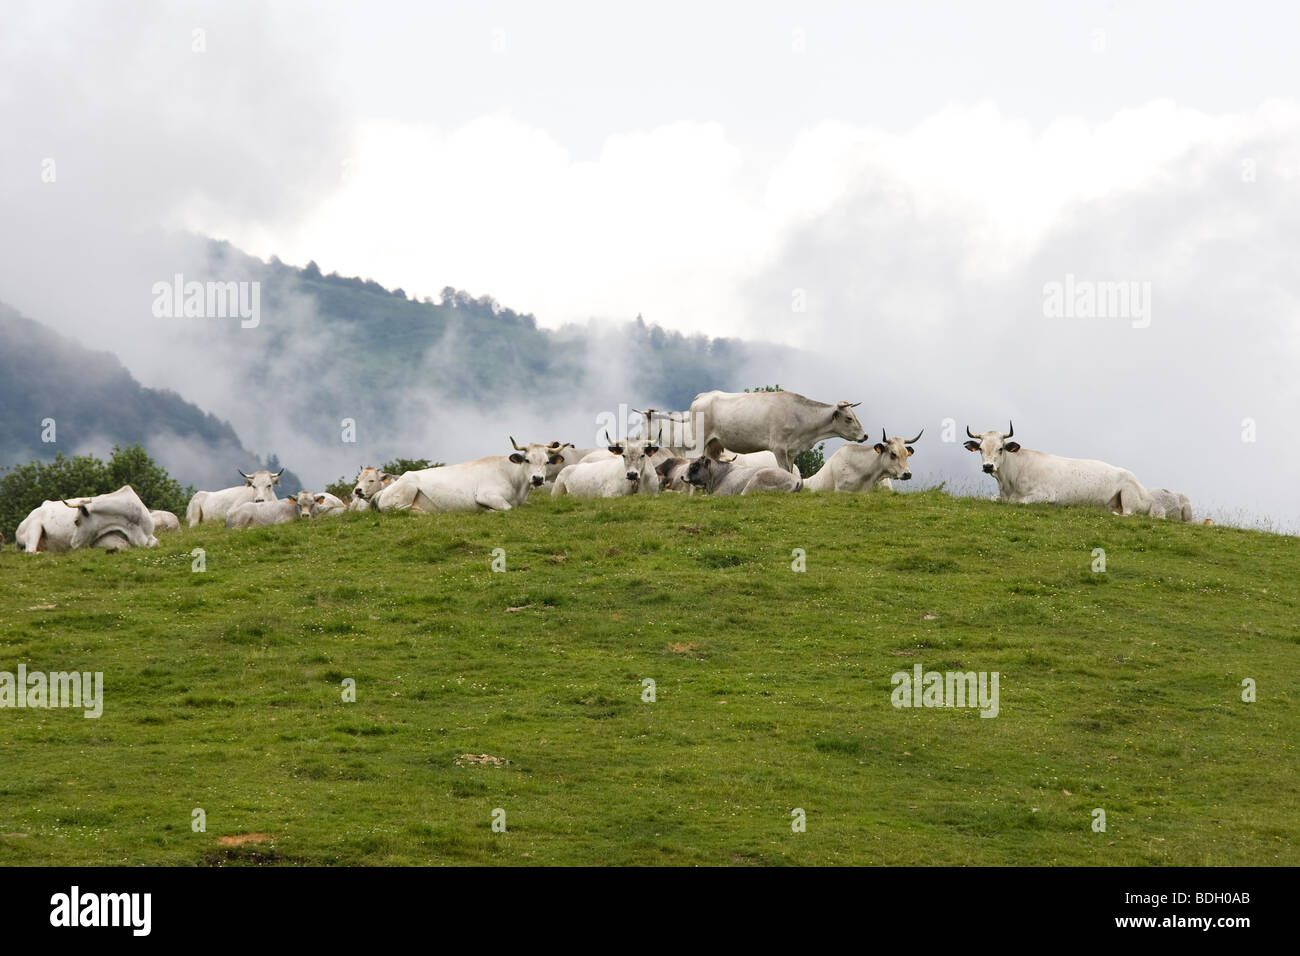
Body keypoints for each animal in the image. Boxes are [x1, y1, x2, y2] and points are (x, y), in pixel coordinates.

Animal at [376, 439, 563, 513]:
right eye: (527, 460)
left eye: (547, 461)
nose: (537, 479)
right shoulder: (486, 495)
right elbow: (508, 508)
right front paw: (488, 511)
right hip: (405, 491)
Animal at [681, 390, 869, 472]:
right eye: (849, 418)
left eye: (854, 415)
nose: (865, 435)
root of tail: (704, 395)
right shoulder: (778, 447)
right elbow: (784, 470)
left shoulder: (791, 451)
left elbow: (791, 470)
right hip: (699, 440)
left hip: (714, 444)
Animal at [963, 423, 1151, 514]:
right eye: (980, 449)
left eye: (1000, 448)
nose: (988, 466)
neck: (1008, 485)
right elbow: (992, 498)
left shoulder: (1045, 495)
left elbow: (1020, 502)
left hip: (1128, 495)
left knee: (1128, 513)